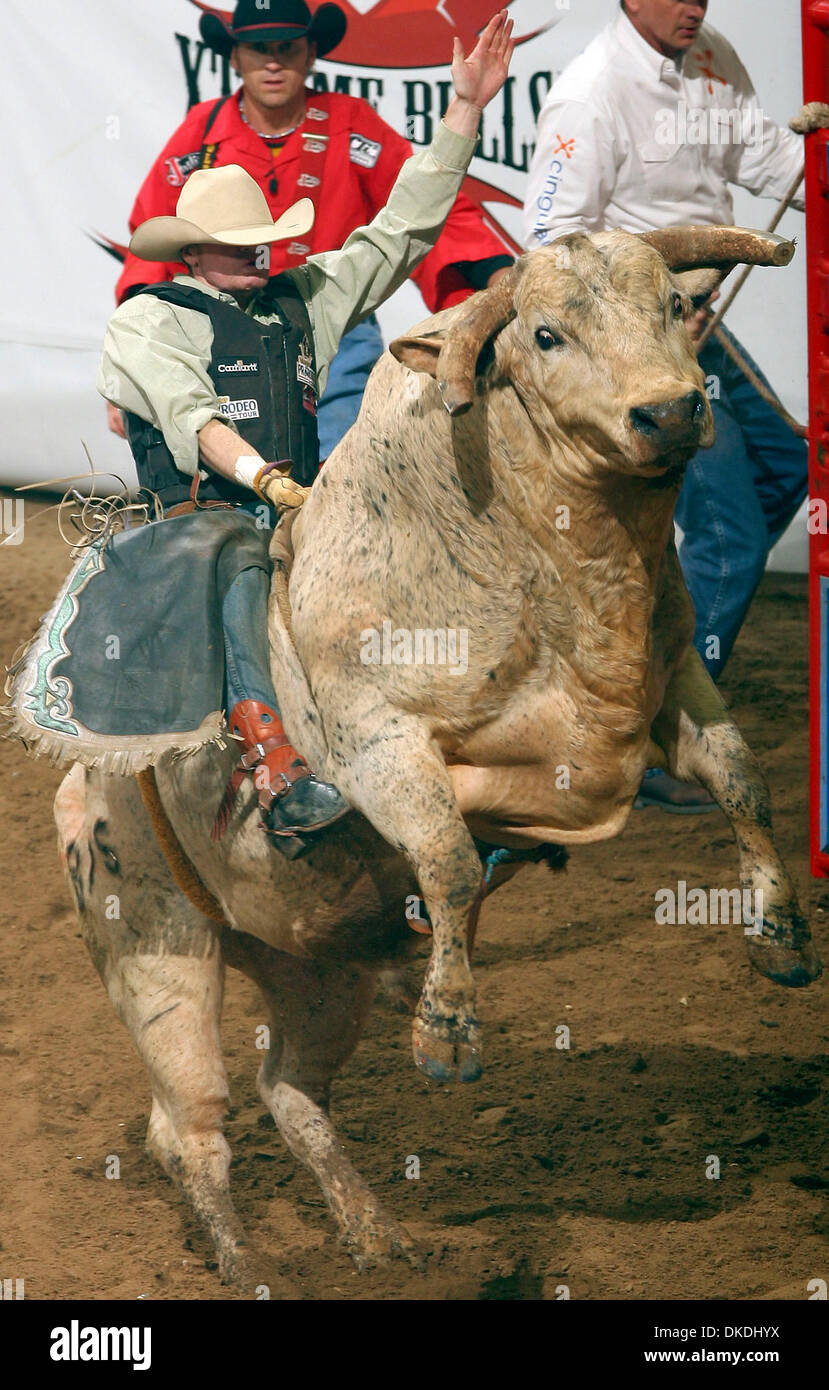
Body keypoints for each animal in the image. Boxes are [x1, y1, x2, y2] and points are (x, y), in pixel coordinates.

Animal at [53, 223, 820, 1287]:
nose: (669, 410)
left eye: (675, 303)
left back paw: (378, 1238)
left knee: (290, 1091)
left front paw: (780, 940)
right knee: (190, 1130)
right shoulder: (382, 744)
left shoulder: (672, 688)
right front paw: (447, 1034)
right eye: (543, 333)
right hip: (155, 956)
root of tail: (83, 783)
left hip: (315, 967)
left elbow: (744, 781)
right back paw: (250, 1270)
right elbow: (452, 860)